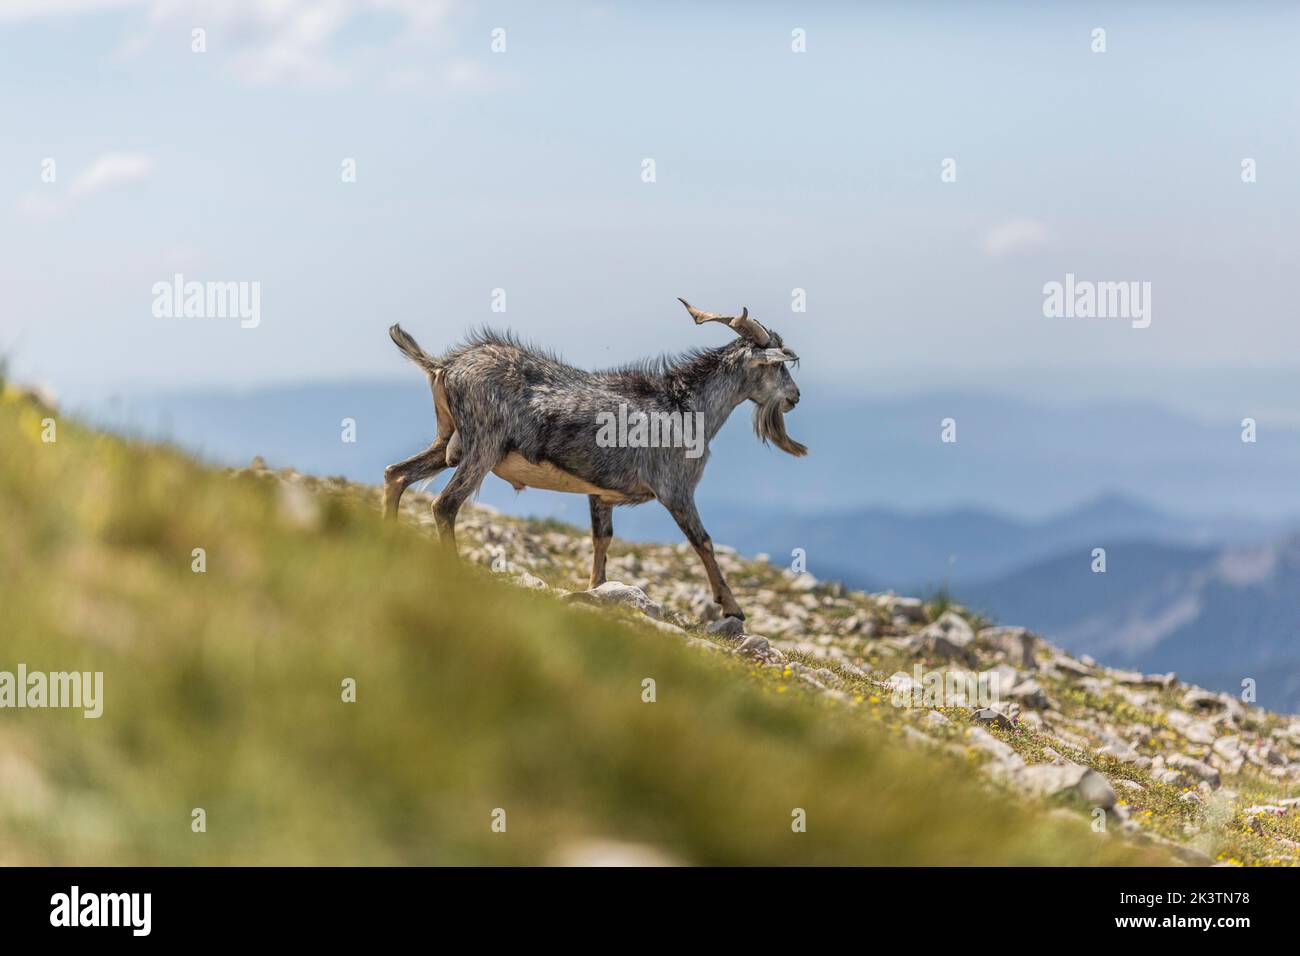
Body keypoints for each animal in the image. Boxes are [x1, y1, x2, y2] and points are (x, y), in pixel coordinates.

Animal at [383, 299, 805, 621]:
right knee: (445, 504)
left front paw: (595, 592)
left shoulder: (600, 492)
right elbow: (703, 541)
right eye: (776, 364)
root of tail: (444, 366)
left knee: (396, 474)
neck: (685, 406)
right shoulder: (676, 487)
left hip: (448, 442)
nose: (795, 396)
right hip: (482, 446)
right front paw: (732, 607)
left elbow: (602, 540)